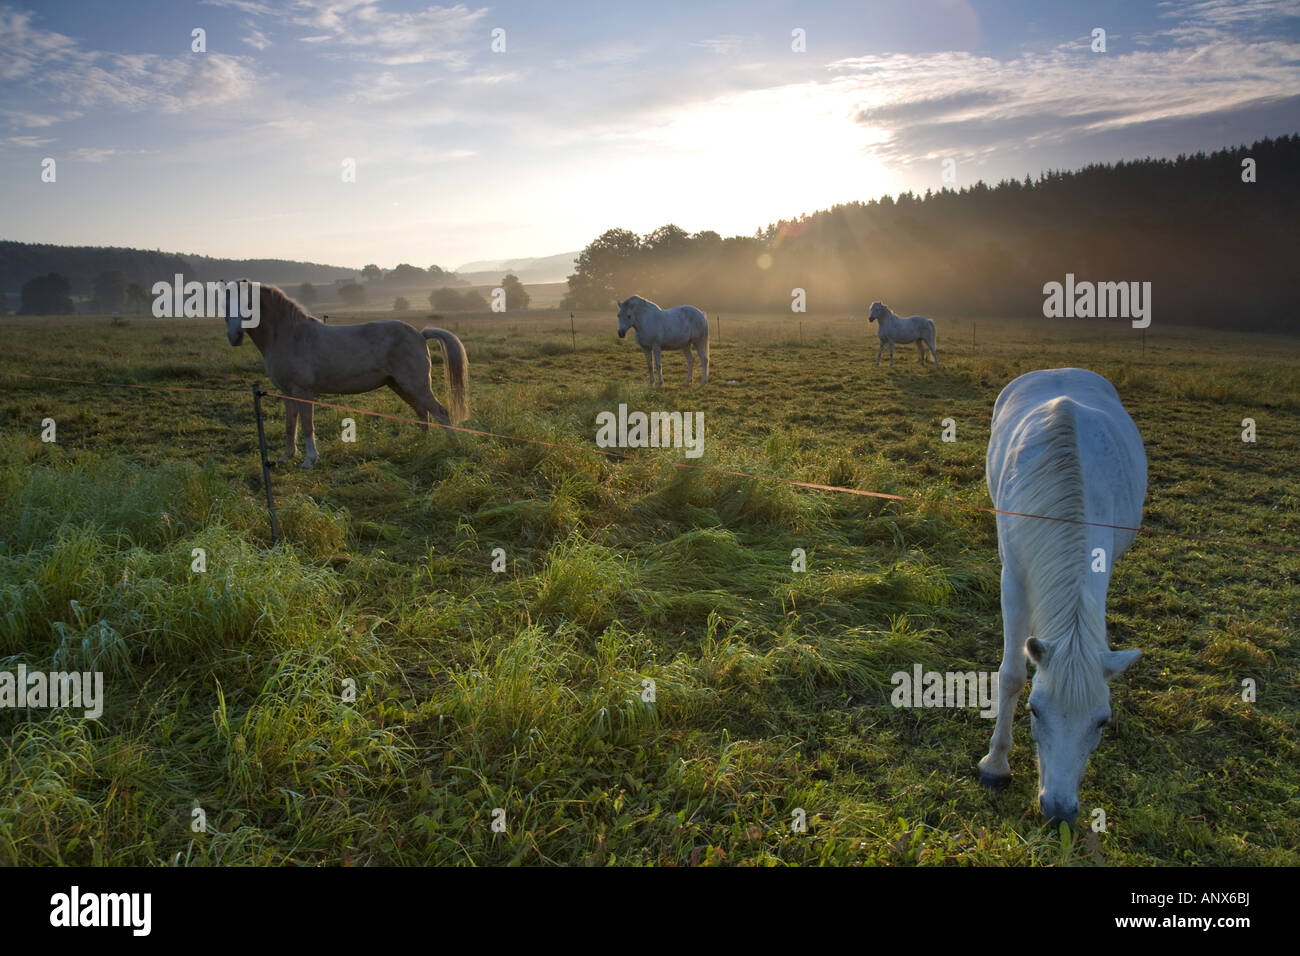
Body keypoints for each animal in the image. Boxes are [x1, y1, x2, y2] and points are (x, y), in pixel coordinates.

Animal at [224, 280, 468, 468]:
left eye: (249, 304)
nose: (234, 337)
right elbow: (289, 426)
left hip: (415, 385)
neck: (290, 335)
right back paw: (420, 444)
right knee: (422, 413)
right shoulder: (286, 392)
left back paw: (453, 445)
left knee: (440, 412)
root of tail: (419, 334)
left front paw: (309, 460)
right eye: (225, 305)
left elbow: (307, 426)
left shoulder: (303, 391)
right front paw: (286, 457)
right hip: (399, 385)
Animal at [978, 368, 1146, 824]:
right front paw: (995, 764)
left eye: (1102, 722)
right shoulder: (1013, 580)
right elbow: (1012, 674)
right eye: (1035, 711)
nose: (1058, 811)